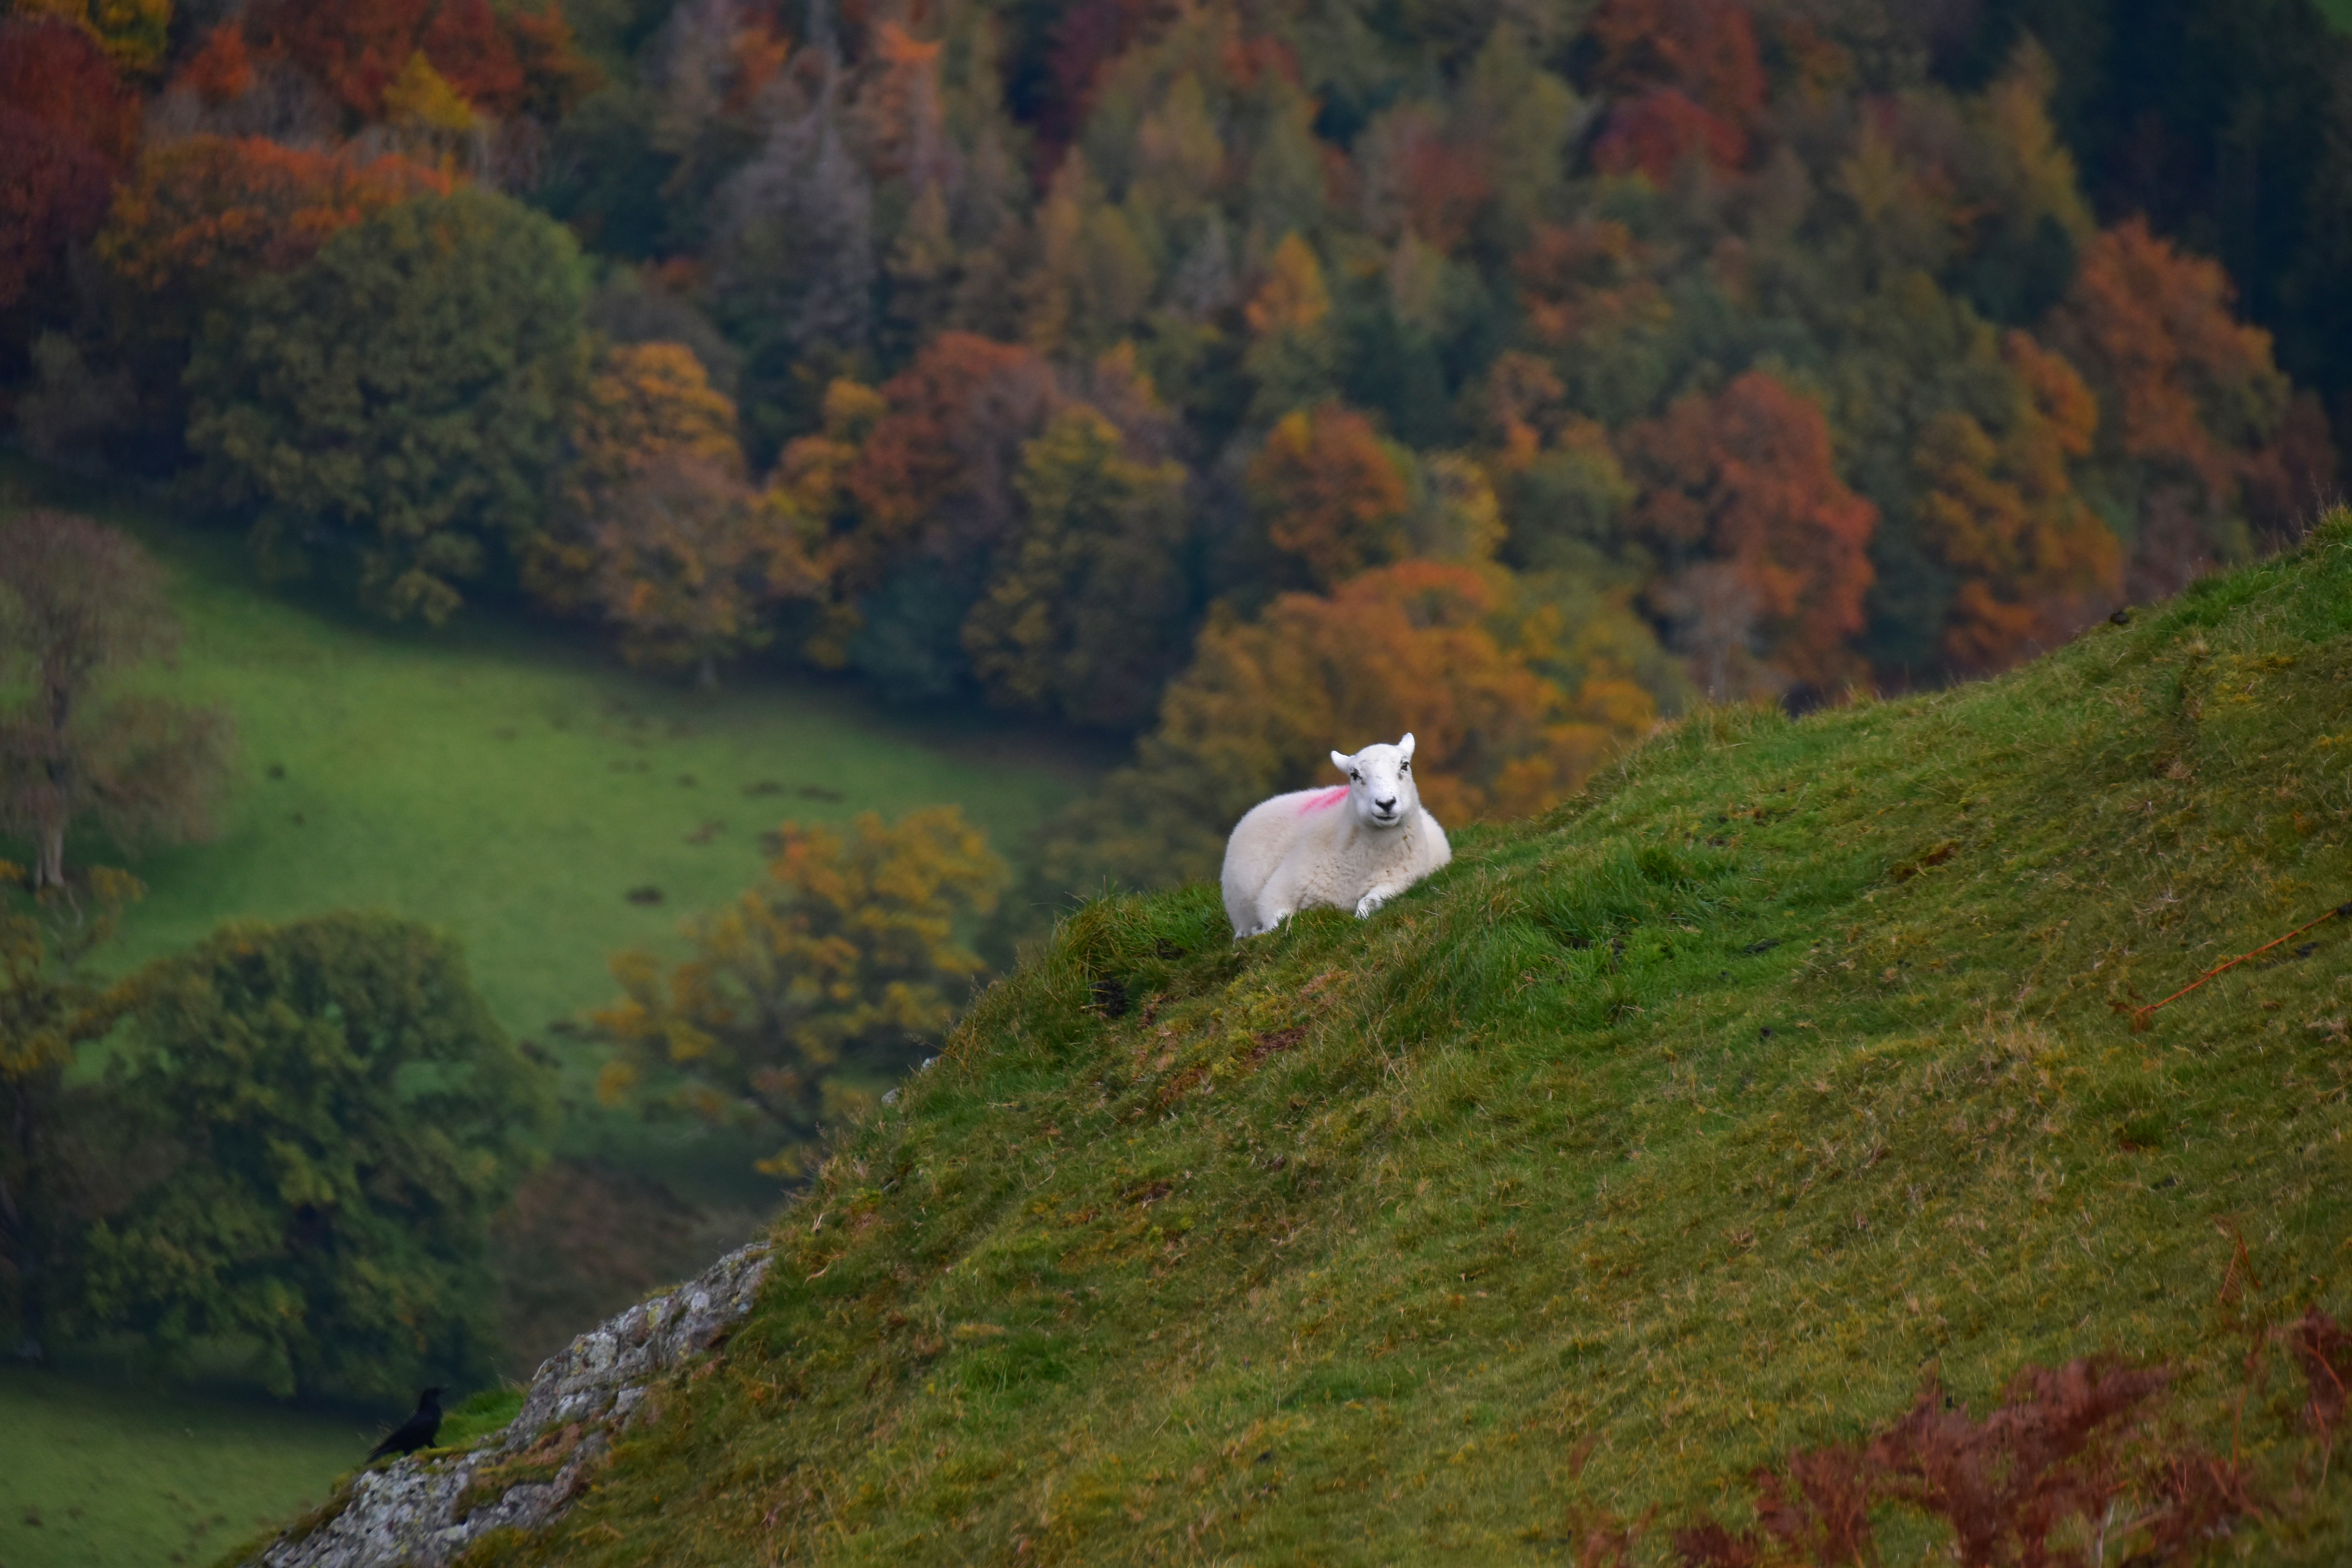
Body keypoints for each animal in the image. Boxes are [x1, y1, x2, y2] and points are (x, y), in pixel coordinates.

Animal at [1221, 734, 1452, 939]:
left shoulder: (1400, 882)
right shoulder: (1276, 892)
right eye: (1355, 775)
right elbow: (1279, 922)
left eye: (1405, 766)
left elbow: (1369, 904)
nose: (1386, 803)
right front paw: (1259, 932)